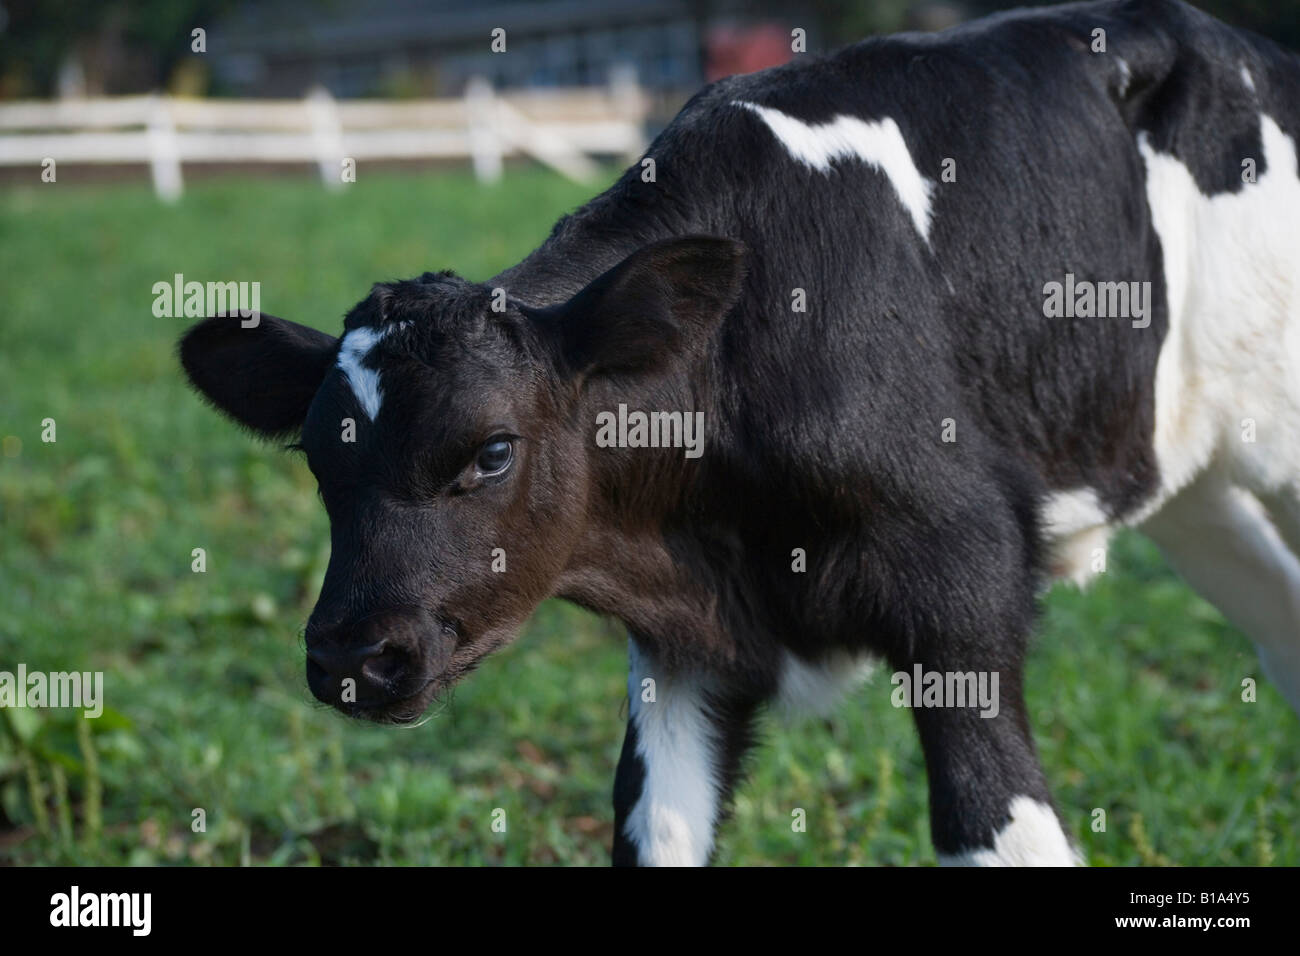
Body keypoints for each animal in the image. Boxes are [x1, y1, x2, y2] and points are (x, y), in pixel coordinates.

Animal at [179, 0, 1300, 865]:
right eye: (321, 461)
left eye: (491, 451)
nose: (352, 656)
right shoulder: (683, 654)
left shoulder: (965, 580)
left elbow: (999, 829)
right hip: (1188, 476)